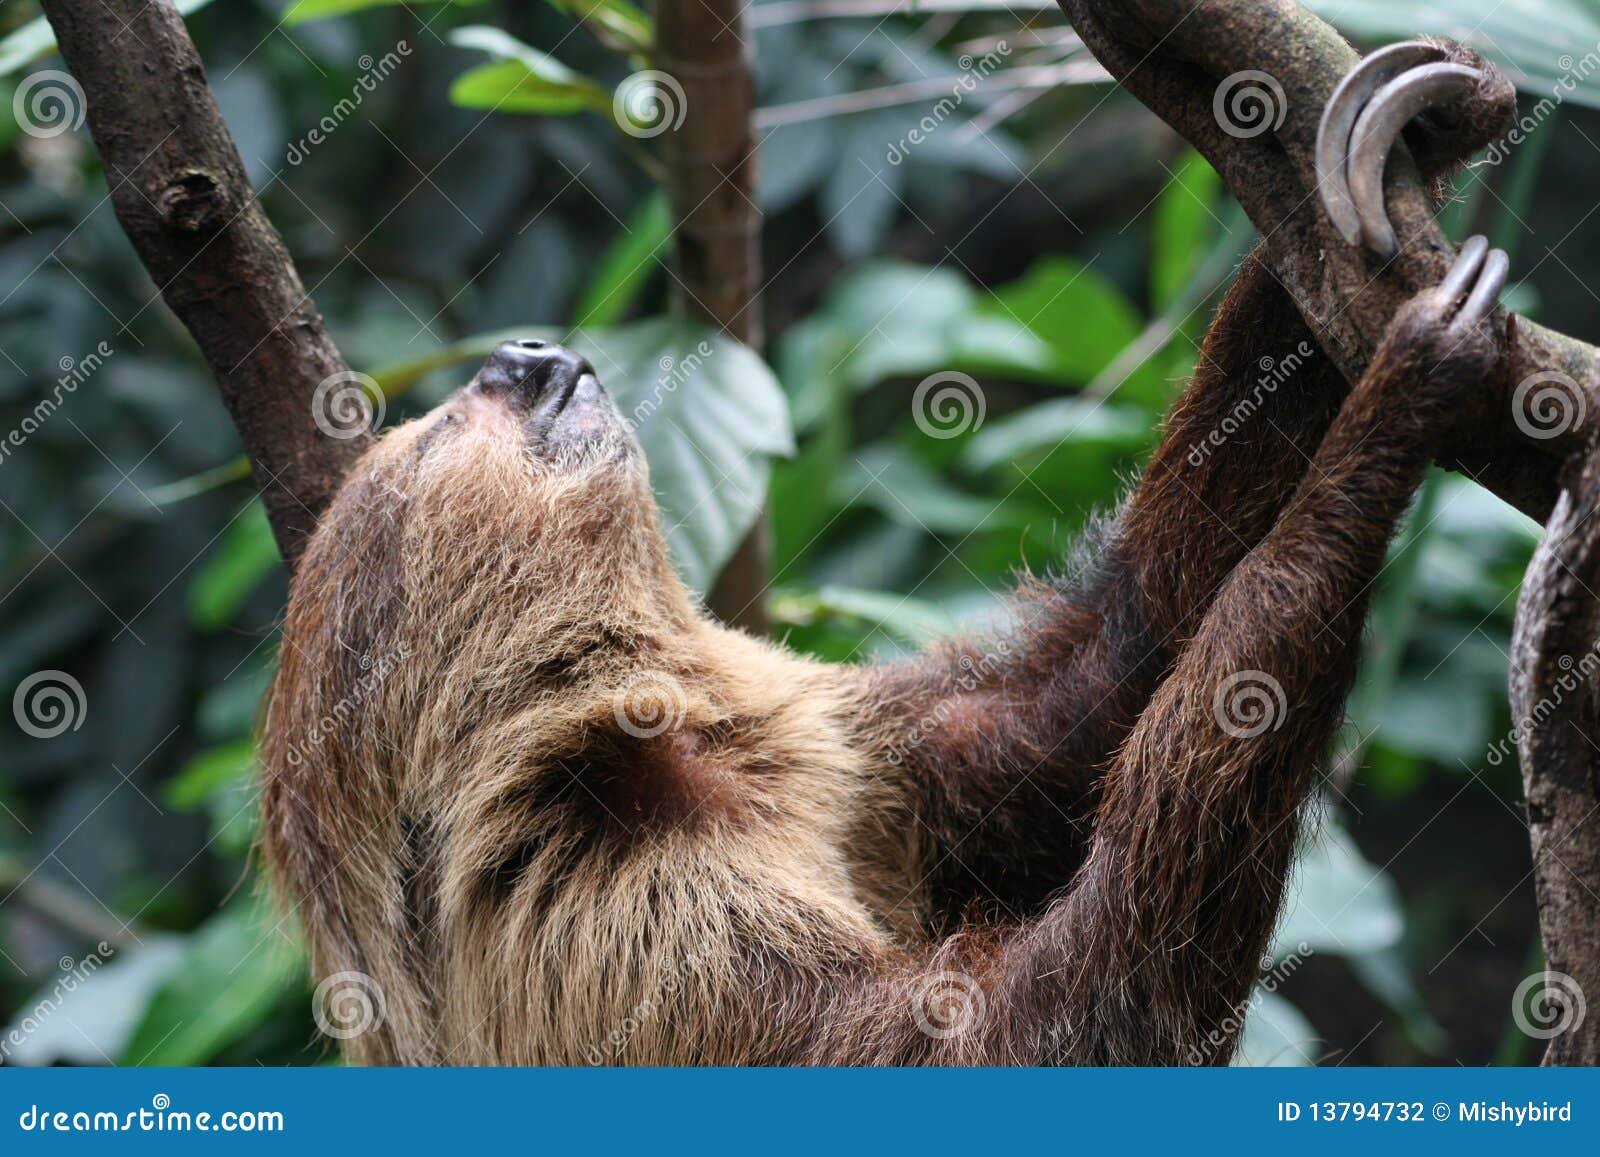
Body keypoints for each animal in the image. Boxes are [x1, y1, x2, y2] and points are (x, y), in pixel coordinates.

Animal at [260, 42, 1516, 1065]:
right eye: (454, 428)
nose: (516, 352)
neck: (667, 756)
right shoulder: (618, 920)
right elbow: (1043, 1032)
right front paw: (1398, 393)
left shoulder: (829, 742)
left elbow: (1060, 715)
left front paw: (1331, 215)